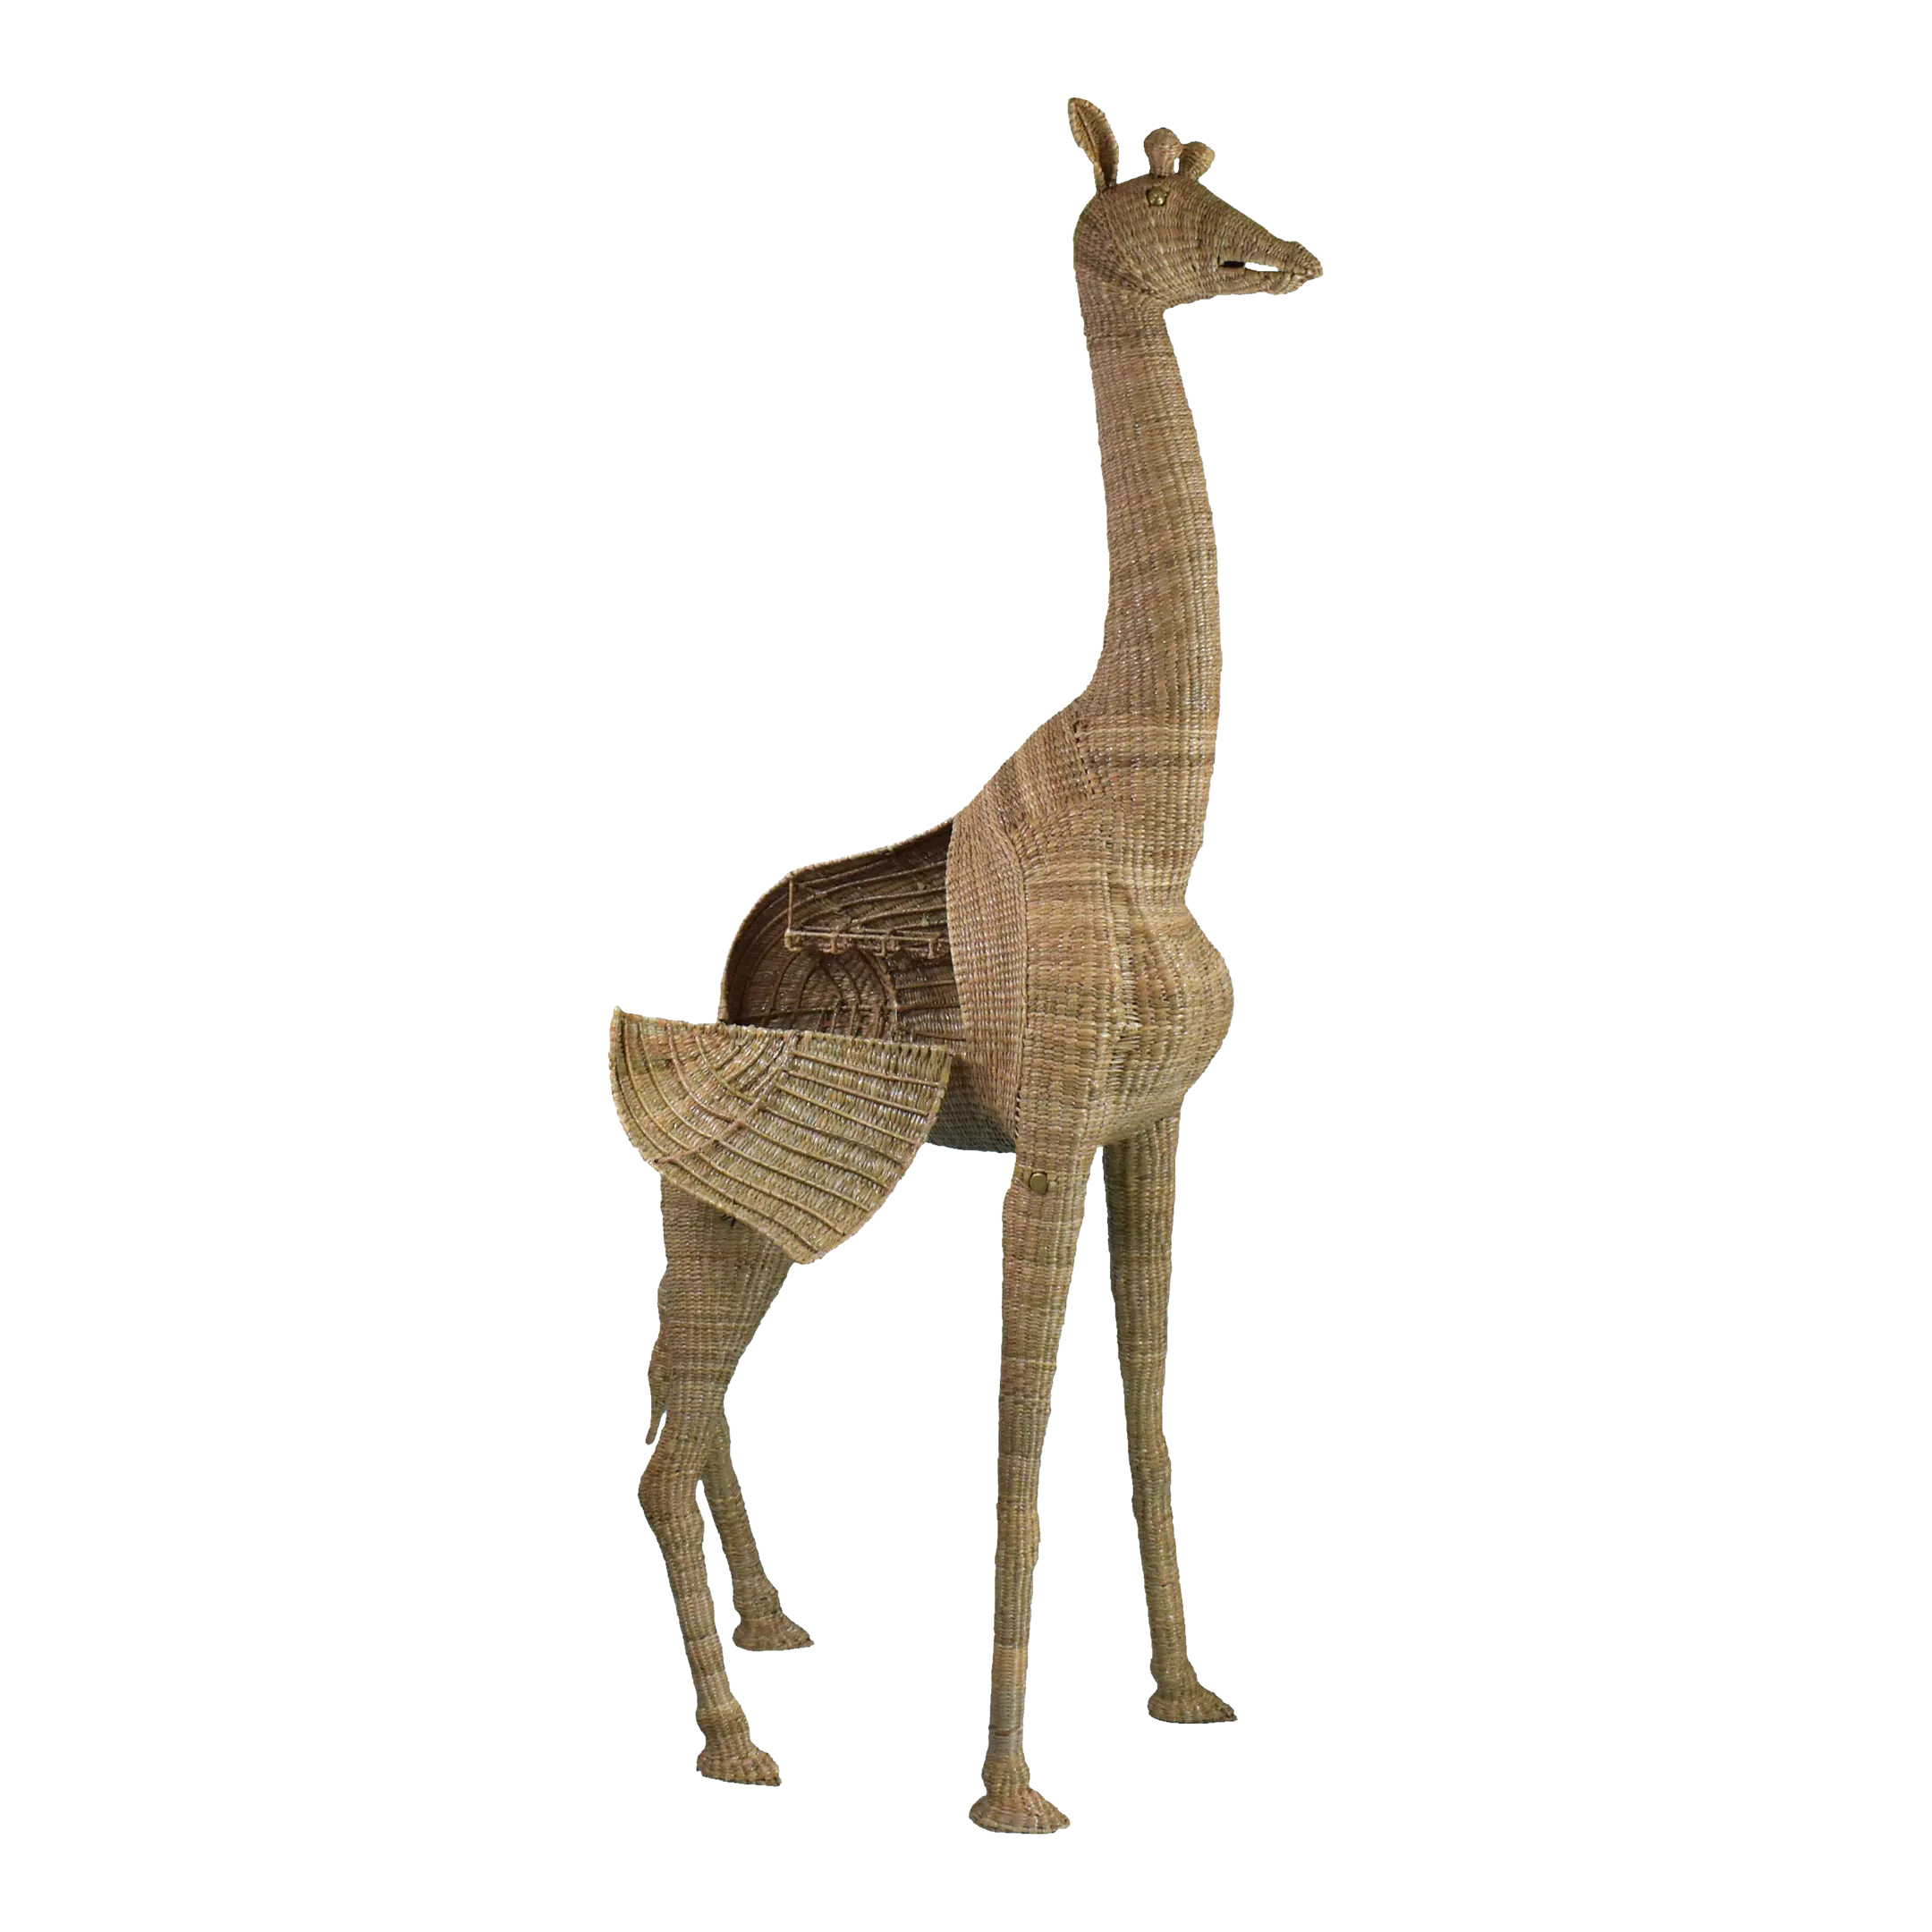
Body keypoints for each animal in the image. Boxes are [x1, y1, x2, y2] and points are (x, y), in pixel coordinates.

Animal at [616, 97, 1322, 1836]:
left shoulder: (1154, 1124)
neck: (1151, 822)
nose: (1287, 259)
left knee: (699, 1410)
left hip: (764, 1197)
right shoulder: (1053, 1125)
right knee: (667, 1433)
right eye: (1158, 208)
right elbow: (1019, 1433)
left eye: (1215, 186)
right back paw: (739, 1743)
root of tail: (729, 966)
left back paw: (779, 1631)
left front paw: (1190, 1698)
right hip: (760, 1180)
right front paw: (1015, 1794)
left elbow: (1148, 1392)